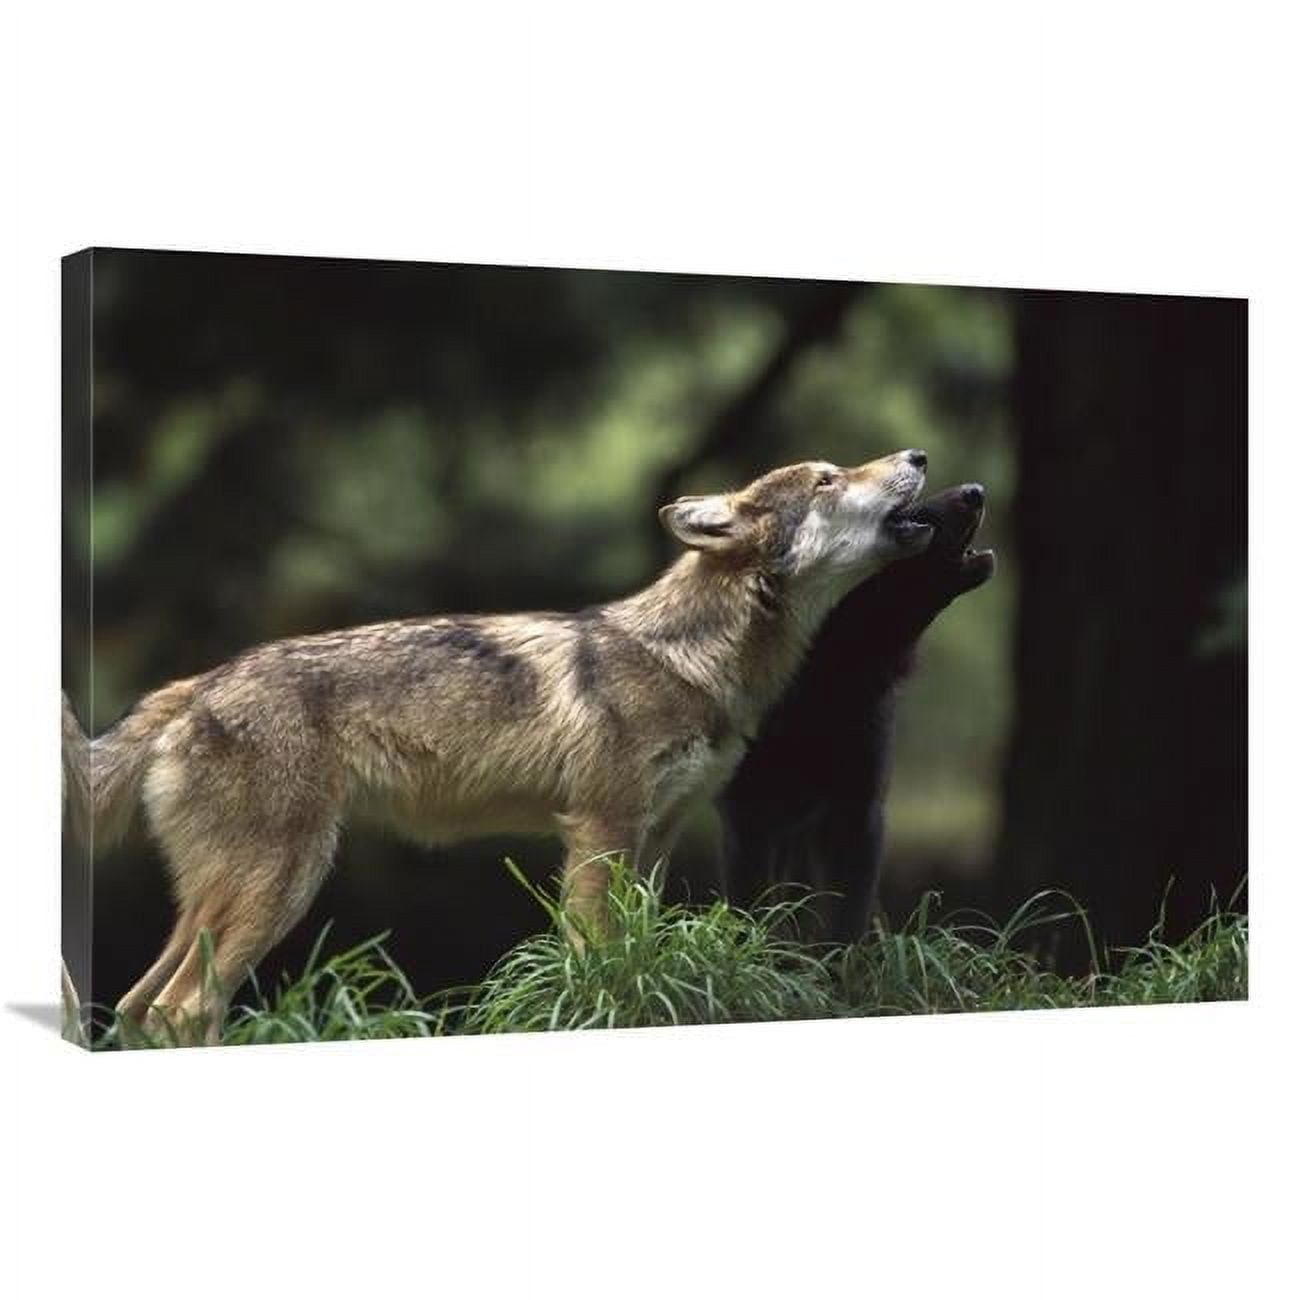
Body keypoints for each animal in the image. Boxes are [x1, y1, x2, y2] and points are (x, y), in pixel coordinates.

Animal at [63, 450, 931, 1041]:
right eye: (827, 479)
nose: (917, 457)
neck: (692, 659)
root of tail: (196, 685)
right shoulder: (600, 831)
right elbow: (595, 956)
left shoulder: (657, 836)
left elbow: (638, 951)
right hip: (281, 884)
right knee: (179, 1009)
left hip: (223, 902)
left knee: (140, 1006)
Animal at [718, 483, 995, 942]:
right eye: (911, 515)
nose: (976, 491)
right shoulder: (749, 811)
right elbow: (755, 905)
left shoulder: (858, 807)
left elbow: (846, 915)